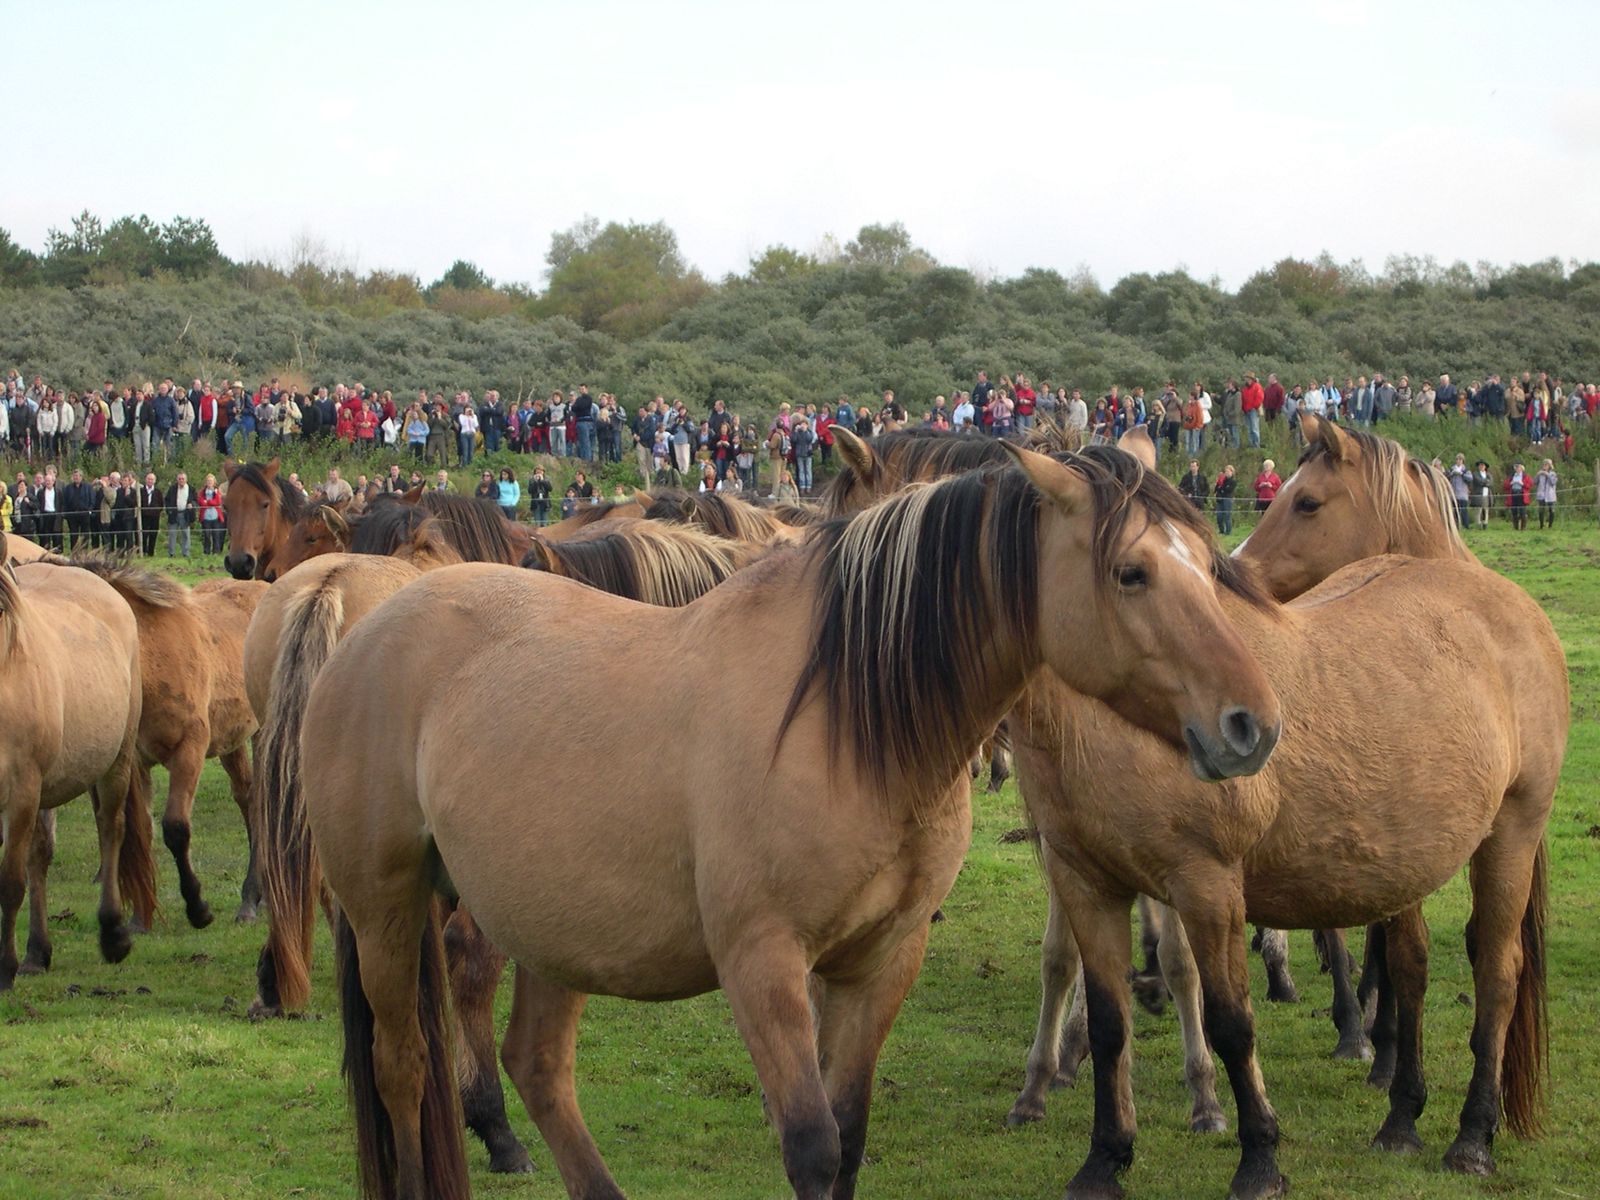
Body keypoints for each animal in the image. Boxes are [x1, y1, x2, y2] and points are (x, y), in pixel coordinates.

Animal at [0, 536, 157, 989]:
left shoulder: (20, 793)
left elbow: (9, 884)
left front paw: (3, 970)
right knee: (39, 856)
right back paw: (37, 951)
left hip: (114, 764)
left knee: (111, 830)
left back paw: (113, 935)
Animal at [40, 557, 268, 927]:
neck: (154, 655)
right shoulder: (136, 762)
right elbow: (141, 829)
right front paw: (139, 919)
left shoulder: (189, 749)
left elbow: (175, 827)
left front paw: (198, 908)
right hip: (232, 740)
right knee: (247, 797)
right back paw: (254, 897)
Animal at [302, 448, 1281, 1200]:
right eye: (1131, 572)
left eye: (1206, 561)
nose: (1254, 724)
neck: (846, 720)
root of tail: (372, 616)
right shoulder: (762, 961)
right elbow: (811, 1146)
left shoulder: (879, 961)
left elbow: (847, 1137)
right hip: (385, 912)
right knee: (401, 1068)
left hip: (556, 929)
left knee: (538, 1067)